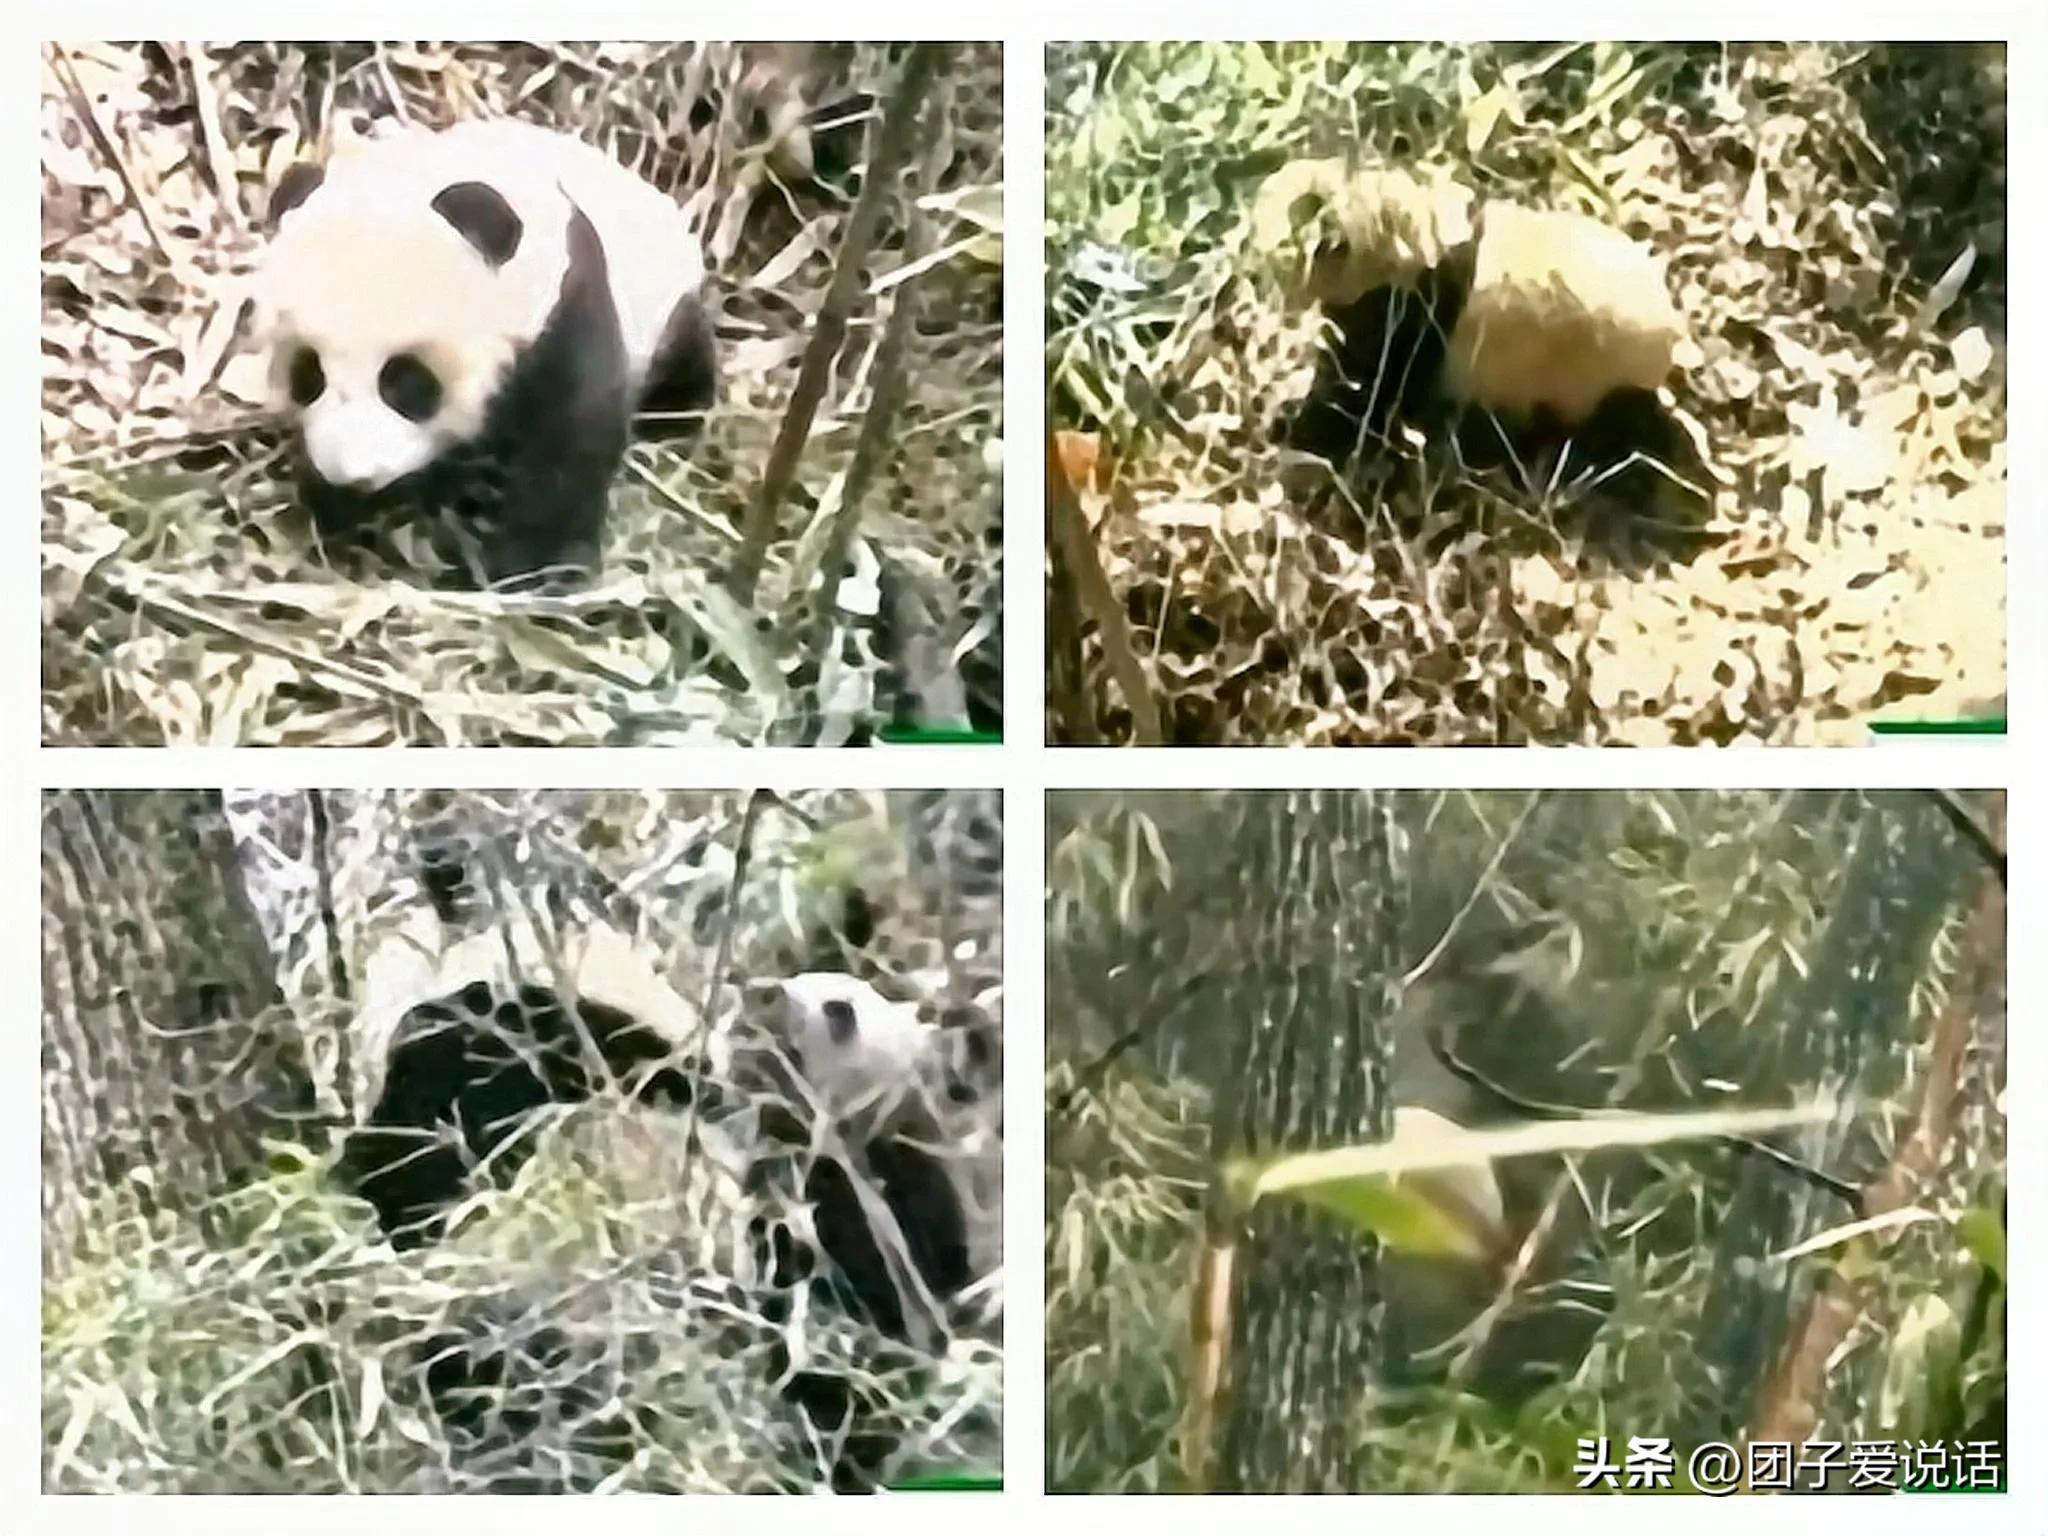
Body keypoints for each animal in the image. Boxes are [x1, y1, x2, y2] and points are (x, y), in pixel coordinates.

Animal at [256, 118, 717, 589]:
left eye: (404, 380)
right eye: (307, 372)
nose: (354, 475)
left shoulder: (566, 301)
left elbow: (572, 432)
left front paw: (538, 566)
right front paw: (340, 509)